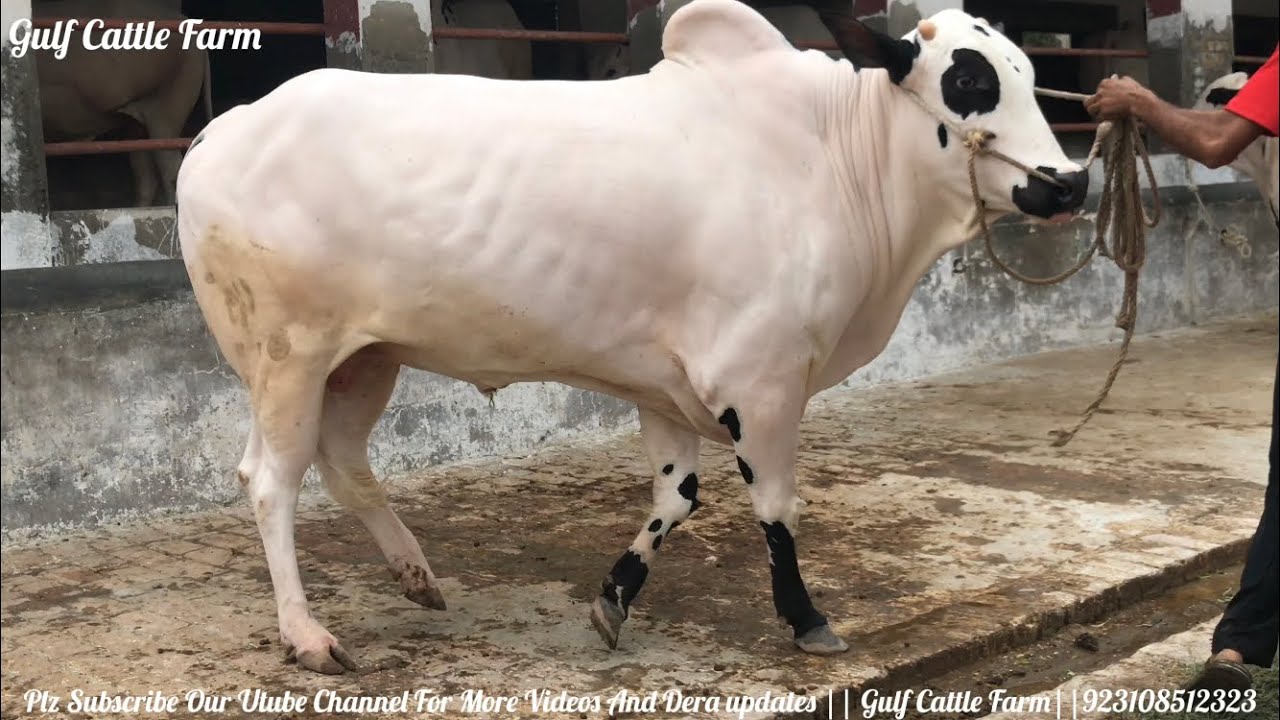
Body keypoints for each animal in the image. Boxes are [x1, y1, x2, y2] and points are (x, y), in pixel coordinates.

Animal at [176, 0, 1088, 674]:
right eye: (966, 80)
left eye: (1029, 76)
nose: (1069, 182)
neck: (831, 154)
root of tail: (223, 131)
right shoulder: (762, 383)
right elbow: (775, 507)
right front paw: (805, 618)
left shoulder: (666, 385)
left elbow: (676, 497)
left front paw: (613, 598)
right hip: (287, 357)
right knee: (271, 480)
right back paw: (306, 633)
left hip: (365, 361)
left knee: (344, 462)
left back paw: (416, 574)